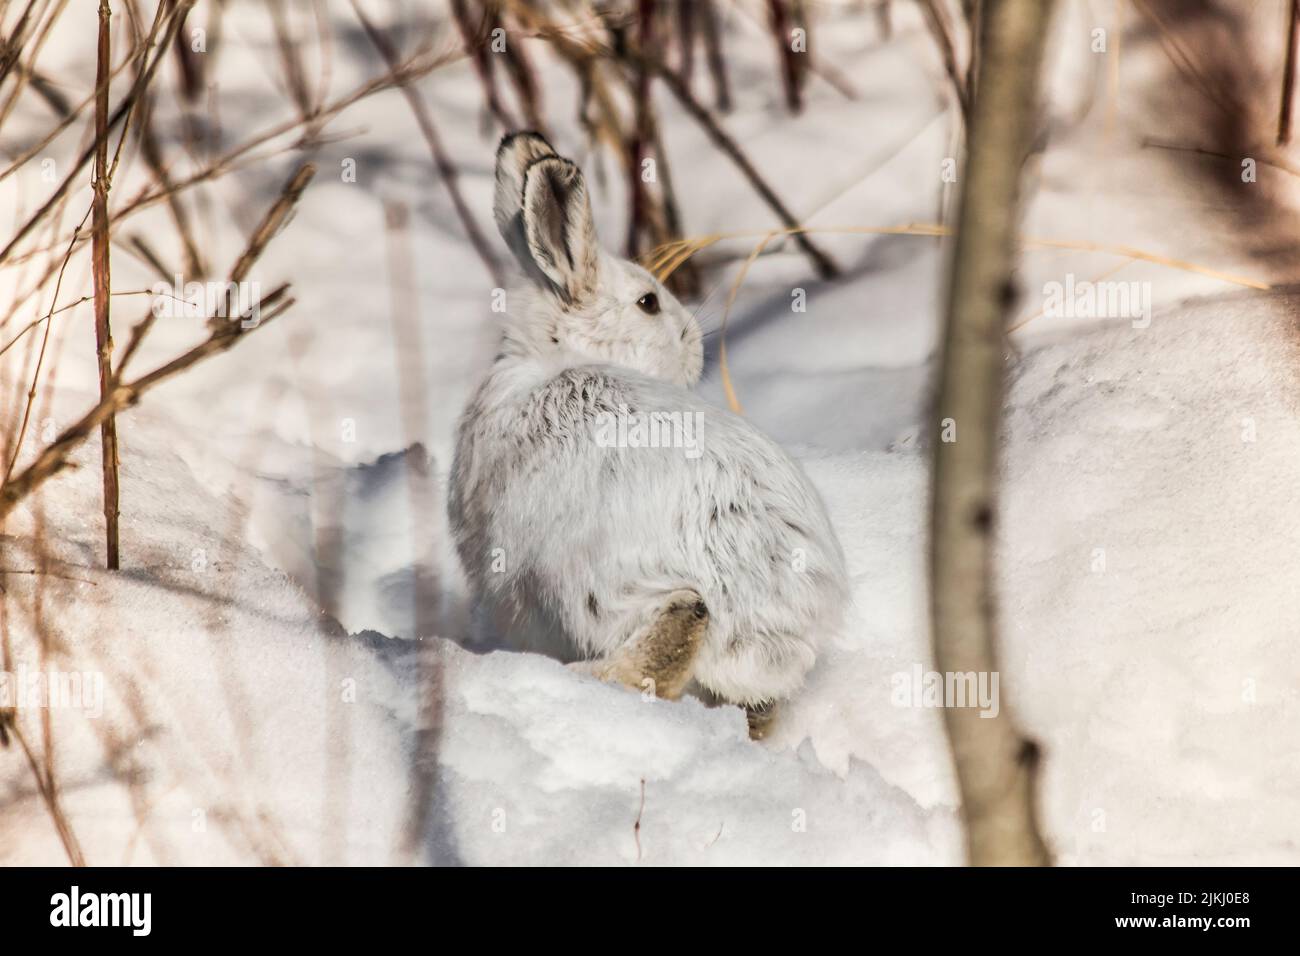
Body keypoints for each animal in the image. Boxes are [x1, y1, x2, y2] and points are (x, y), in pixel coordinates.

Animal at [447, 132, 850, 737]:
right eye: (649, 304)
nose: (697, 347)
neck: (552, 357)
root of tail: (765, 630)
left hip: (591, 591)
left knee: (675, 626)